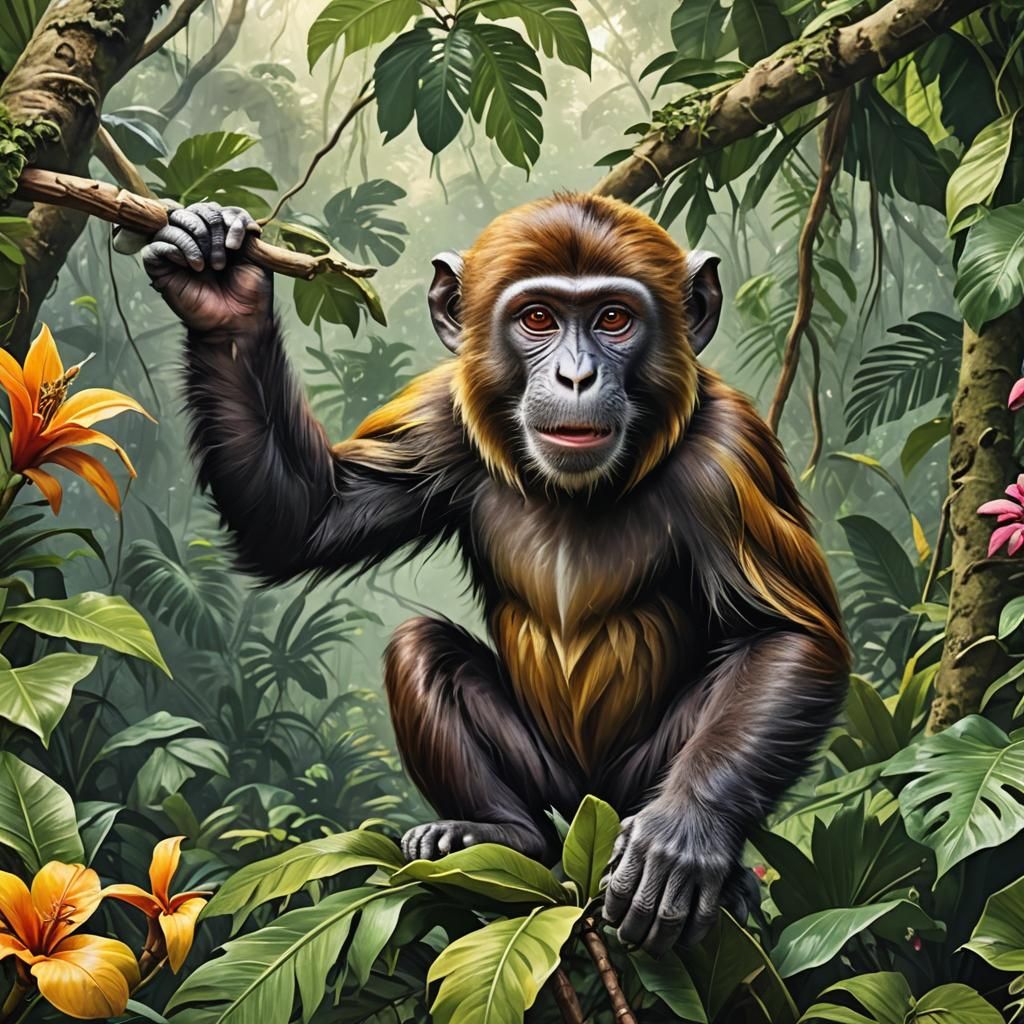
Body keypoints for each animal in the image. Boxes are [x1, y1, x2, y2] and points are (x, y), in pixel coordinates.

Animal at [134, 193, 850, 956]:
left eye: (614, 319)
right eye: (537, 318)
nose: (575, 376)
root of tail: (585, 805)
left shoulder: (730, 456)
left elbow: (785, 634)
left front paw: (682, 839)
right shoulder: (440, 417)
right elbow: (305, 519)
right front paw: (221, 289)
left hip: (633, 781)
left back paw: (724, 871)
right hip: (543, 772)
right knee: (424, 652)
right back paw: (495, 832)